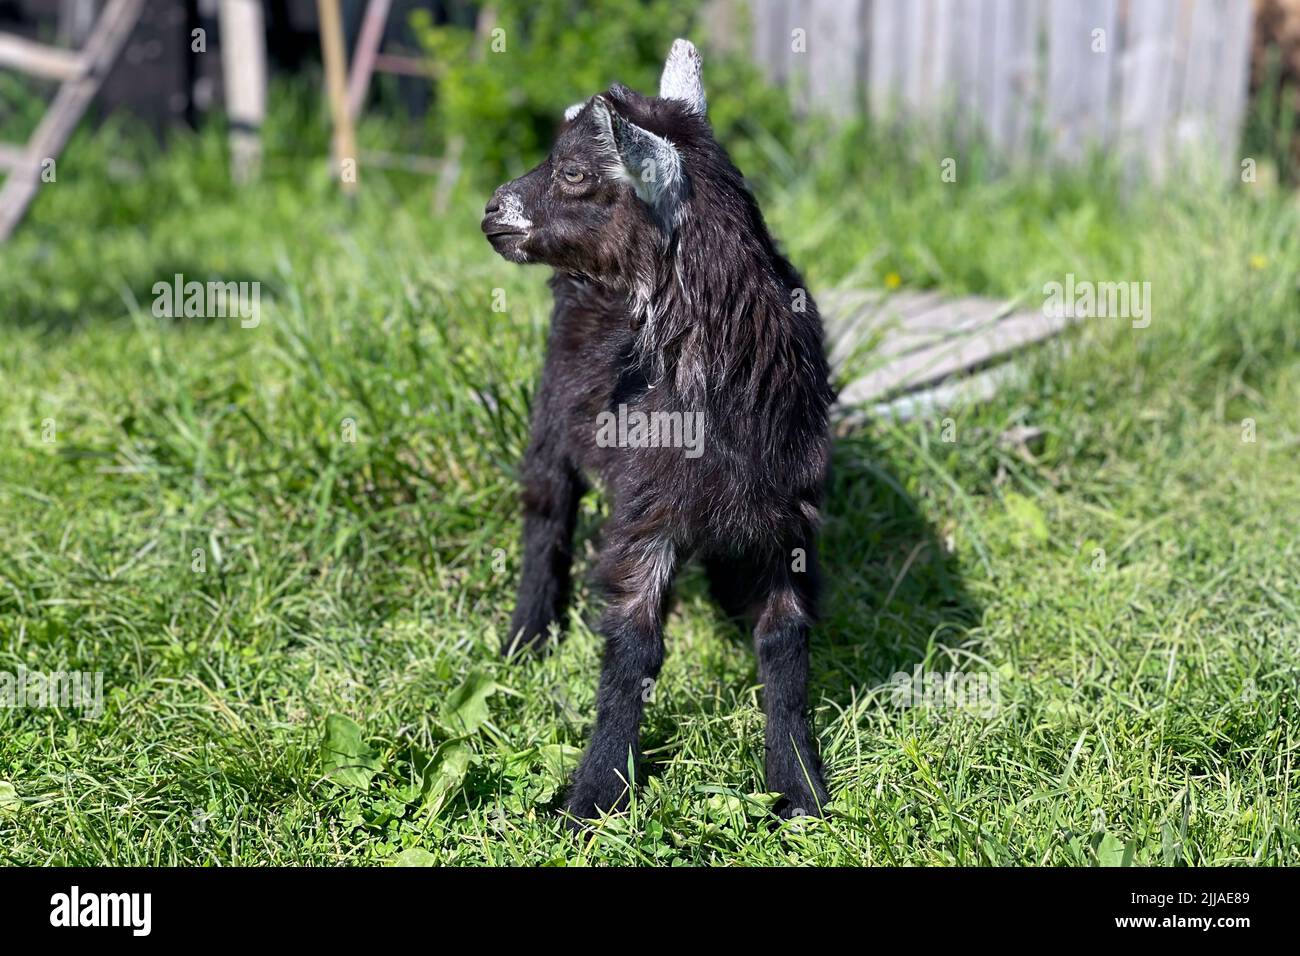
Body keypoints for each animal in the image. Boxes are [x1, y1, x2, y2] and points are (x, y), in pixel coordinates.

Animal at [481, 39, 835, 825]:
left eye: (575, 171)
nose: (490, 210)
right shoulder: (646, 512)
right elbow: (633, 646)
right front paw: (595, 795)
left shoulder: (787, 515)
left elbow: (785, 640)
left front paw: (799, 787)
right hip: (552, 404)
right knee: (546, 505)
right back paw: (527, 637)